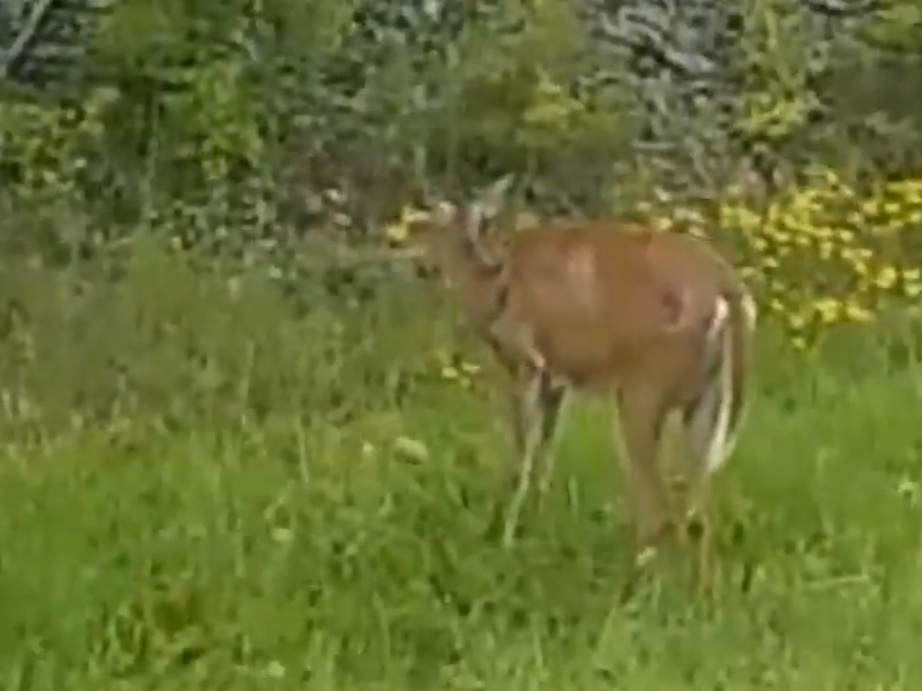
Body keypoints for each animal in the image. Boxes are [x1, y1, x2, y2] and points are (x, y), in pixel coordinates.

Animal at [403, 176, 758, 562]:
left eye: (433, 225)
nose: (420, 266)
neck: (495, 283)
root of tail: (729, 293)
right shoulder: (558, 380)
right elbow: (545, 455)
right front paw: (534, 526)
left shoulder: (527, 365)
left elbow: (522, 456)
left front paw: (502, 536)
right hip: (706, 403)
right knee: (699, 504)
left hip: (645, 389)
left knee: (660, 505)